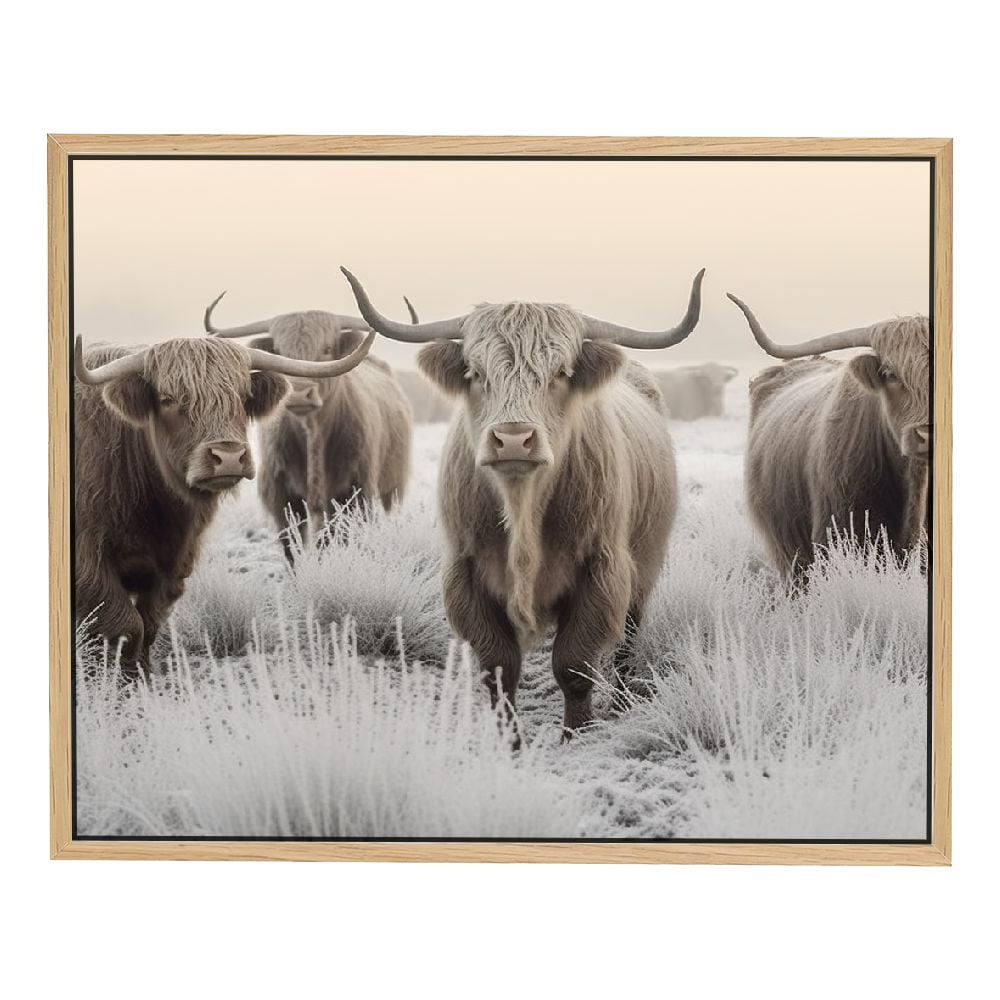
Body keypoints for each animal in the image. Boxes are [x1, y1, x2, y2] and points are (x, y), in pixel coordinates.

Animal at [74, 332, 374, 673]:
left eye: (243, 396)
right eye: (168, 399)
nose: (228, 456)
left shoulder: (174, 562)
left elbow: (148, 623)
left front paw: (143, 674)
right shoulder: (88, 561)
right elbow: (125, 625)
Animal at [204, 294, 413, 559]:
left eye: (326, 349)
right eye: (279, 351)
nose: (299, 394)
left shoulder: (355, 493)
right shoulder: (282, 498)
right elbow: (292, 547)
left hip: (391, 490)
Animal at [341, 266, 705, 736]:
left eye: (561, 372)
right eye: (476, 372)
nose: (513, 439)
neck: (522, 510)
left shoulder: (602, 571)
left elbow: (574, 664)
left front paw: (576, 733)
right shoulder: (465, 575)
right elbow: (499, 667)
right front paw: (508, 739)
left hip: (645, 560)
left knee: (629, 635)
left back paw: (624, 700)